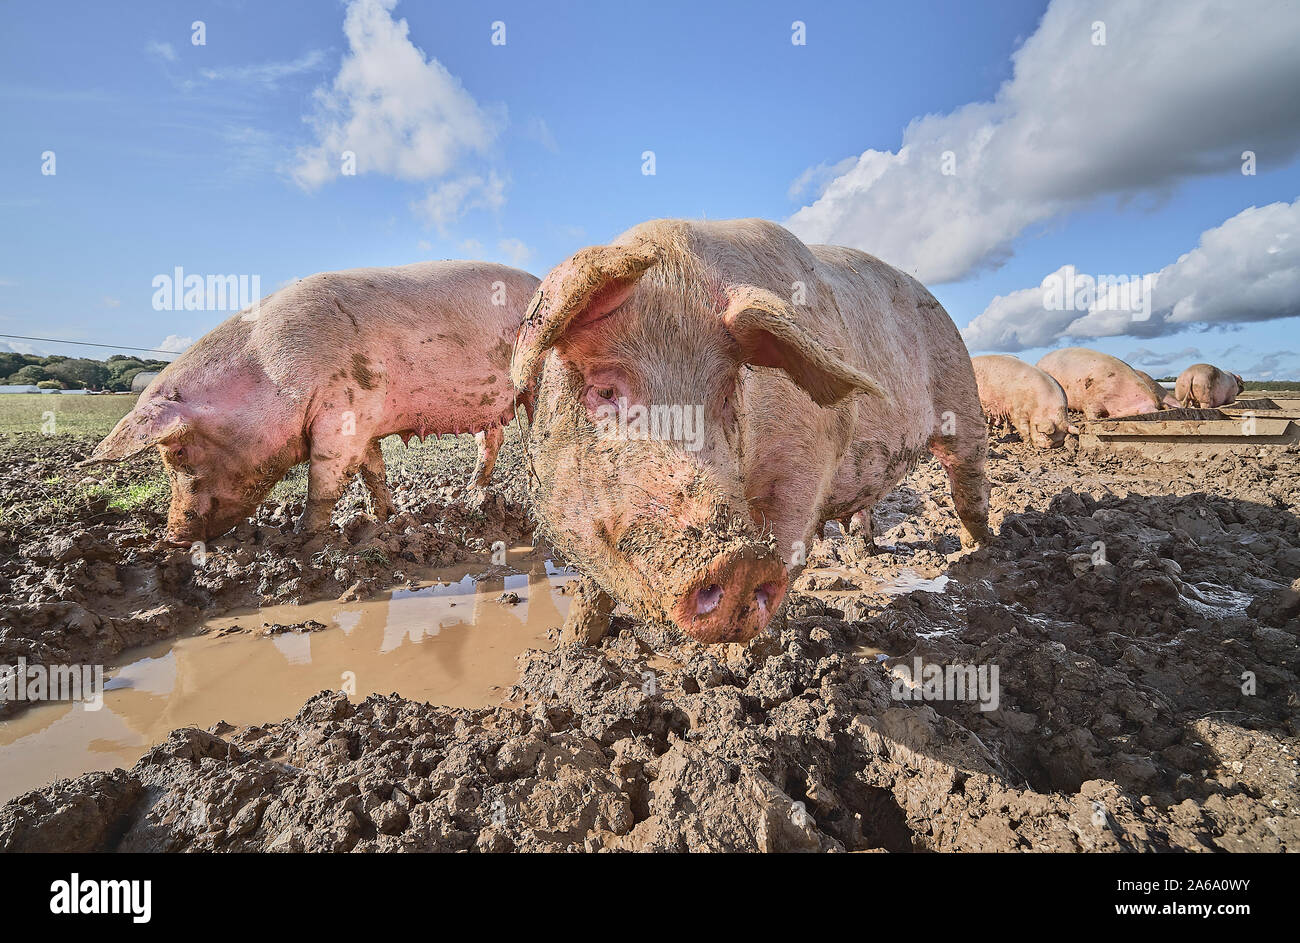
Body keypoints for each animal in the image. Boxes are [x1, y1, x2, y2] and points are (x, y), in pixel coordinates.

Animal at [84, 261, 539, 544]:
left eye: (177, 451)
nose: (172, 539)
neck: (270, 373)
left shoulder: (342, 410)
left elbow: (323, 479)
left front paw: (304, 536)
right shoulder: (364, 419)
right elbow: (371, 472)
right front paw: (383, 519)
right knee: (491, 441)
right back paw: (470, 494)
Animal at [511, 218, 991, 645]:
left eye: (726, 394)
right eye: (606, 391)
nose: (738, 561)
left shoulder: (812, 456)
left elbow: (786, 555)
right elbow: (591, 590)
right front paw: (571, 649)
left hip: (963, 397)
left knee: (968, 485)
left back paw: (979, 557)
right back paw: (869, 551)